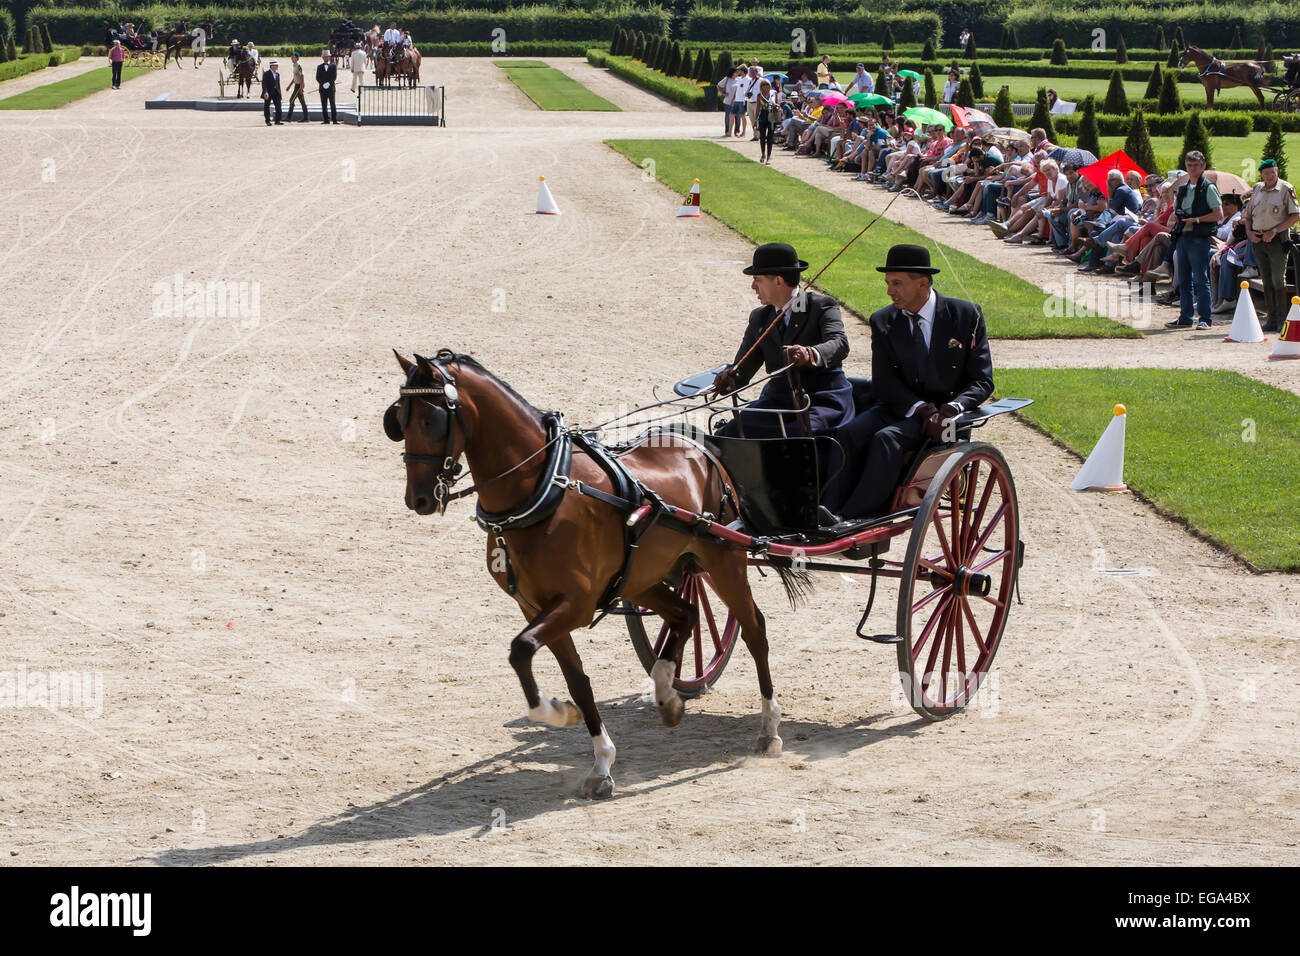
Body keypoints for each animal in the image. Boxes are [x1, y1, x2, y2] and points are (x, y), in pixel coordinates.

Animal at [384, 350, 793, 799]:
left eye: (432, 419)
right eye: (398, 419)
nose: (418, 499)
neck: (545, 488)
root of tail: (701, 446)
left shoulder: (574, 605)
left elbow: (521, 650)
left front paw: (558, 713)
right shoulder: (535, 607)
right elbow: (573, 677)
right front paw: (598, 758)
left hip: (724, 560)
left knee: (754, 630)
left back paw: (769, 727)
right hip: (644, 578)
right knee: (685, 613)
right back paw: (668, 693)